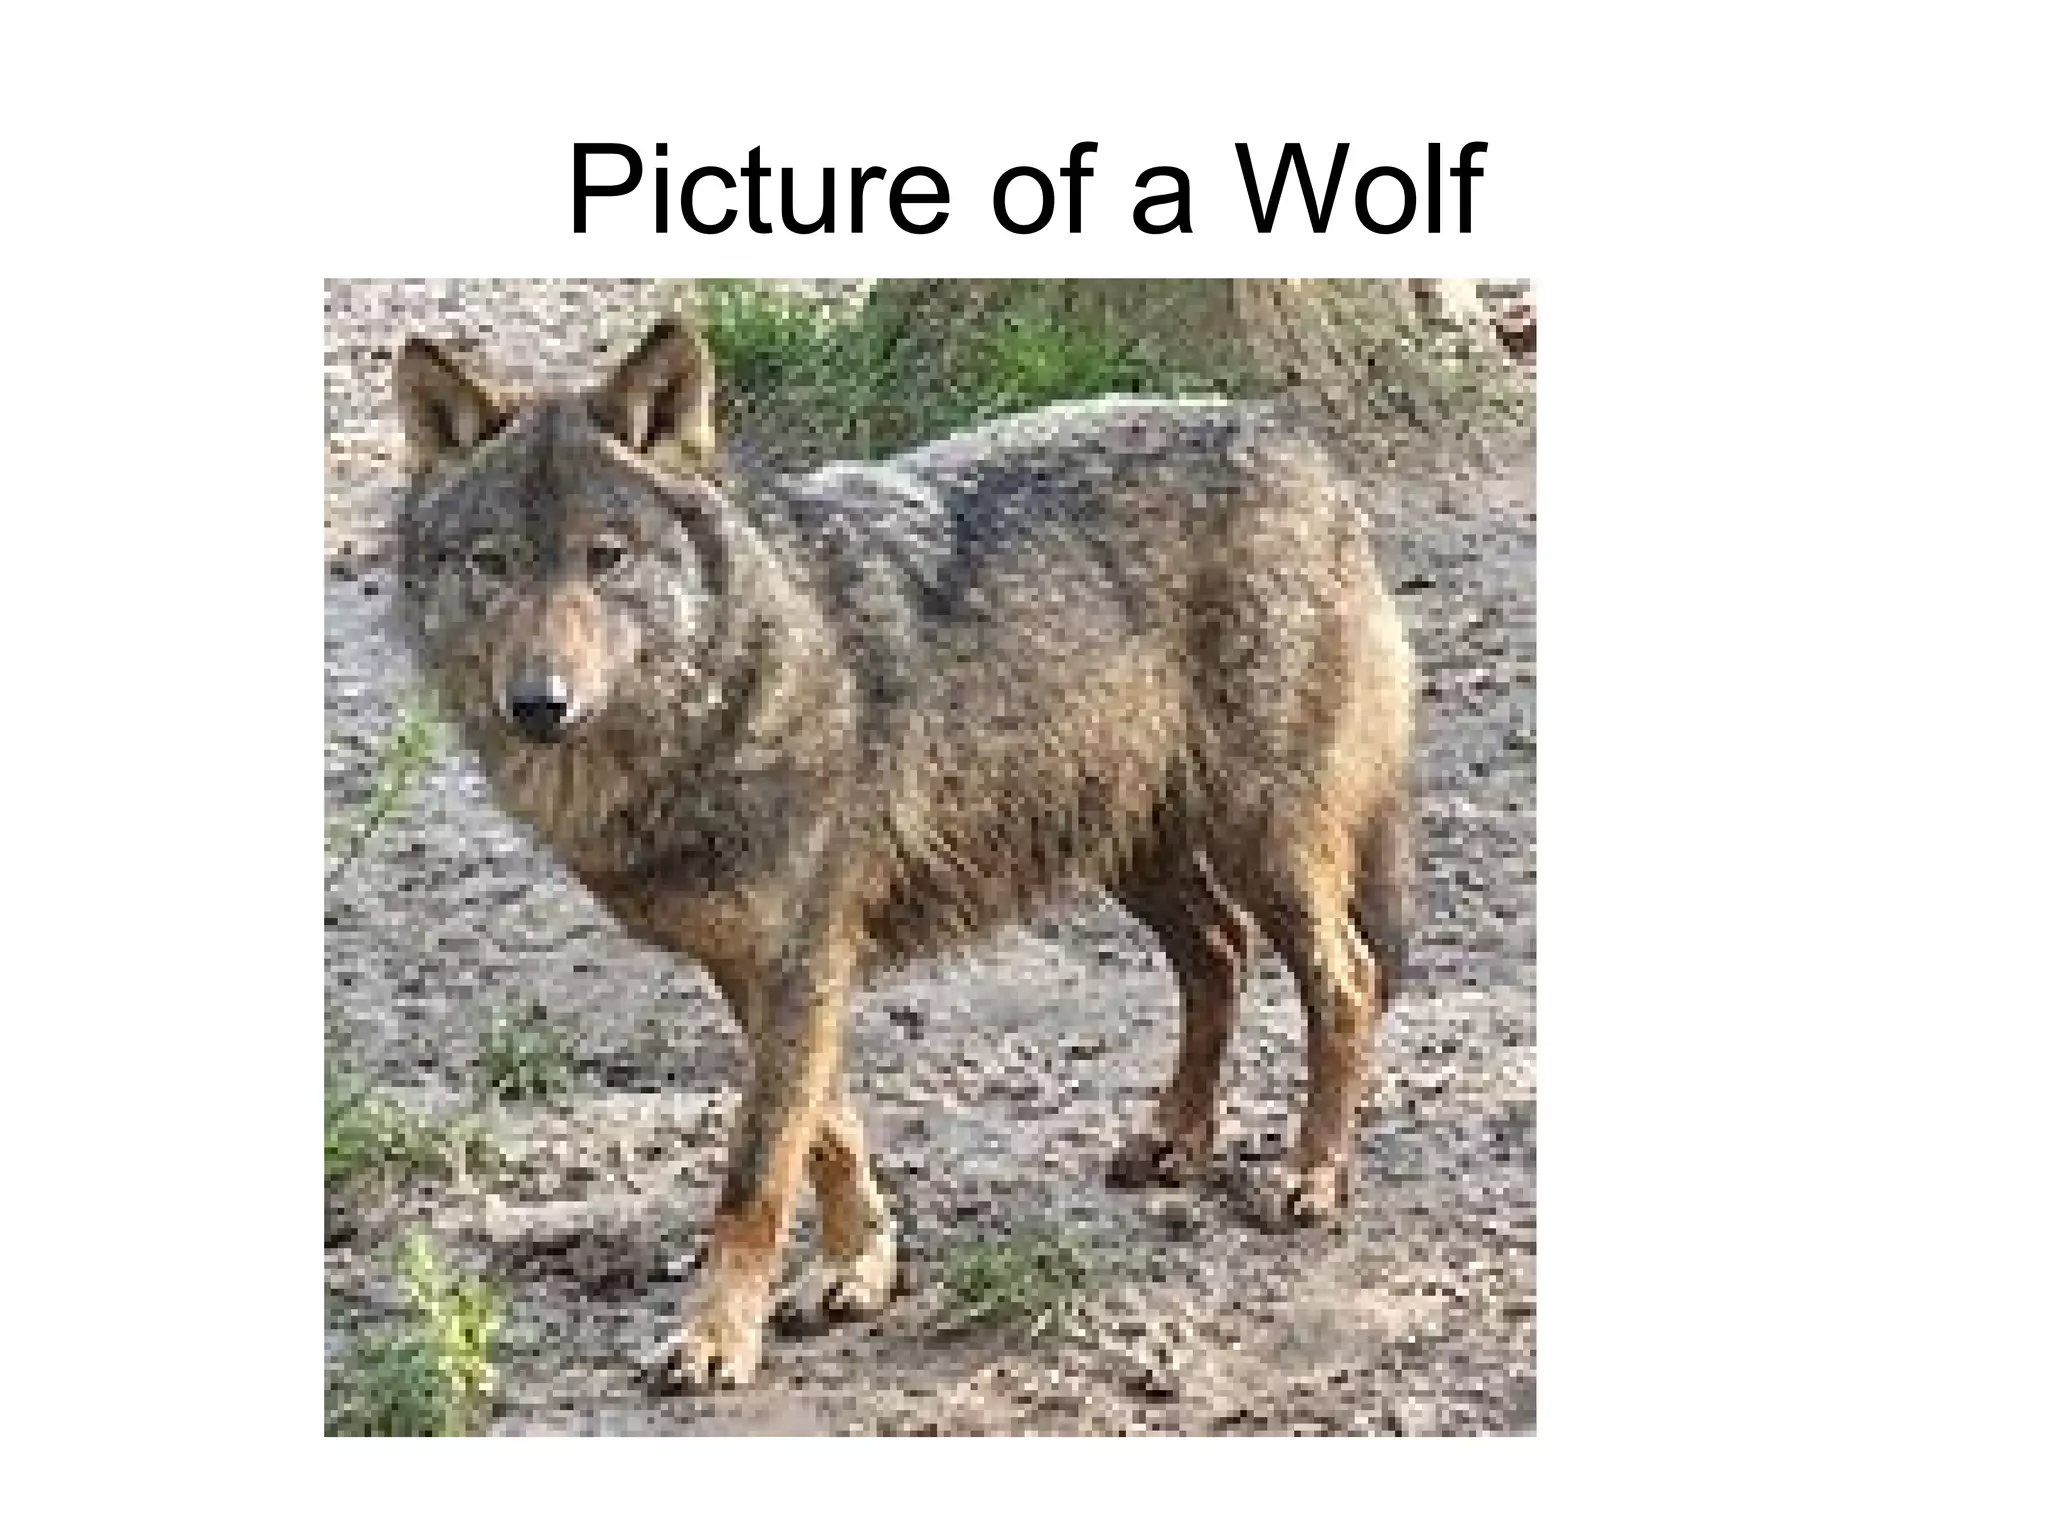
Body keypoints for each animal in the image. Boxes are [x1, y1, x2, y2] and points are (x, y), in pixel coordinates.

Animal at [391, 318, 1414, 1390]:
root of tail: (1297, 442)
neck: (741, 688)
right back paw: (1174, 1140)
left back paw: (1313, 1176)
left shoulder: (801, 958)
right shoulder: (763, 968)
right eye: (492, 562)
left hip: (1258, 842)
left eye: (606, 558)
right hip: (1127, 847)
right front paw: (859, 1271)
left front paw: (718, 1337)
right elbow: (826, 1133)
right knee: (1219, 955)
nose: (538, 703)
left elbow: (756, 1171)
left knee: (1345, 979)